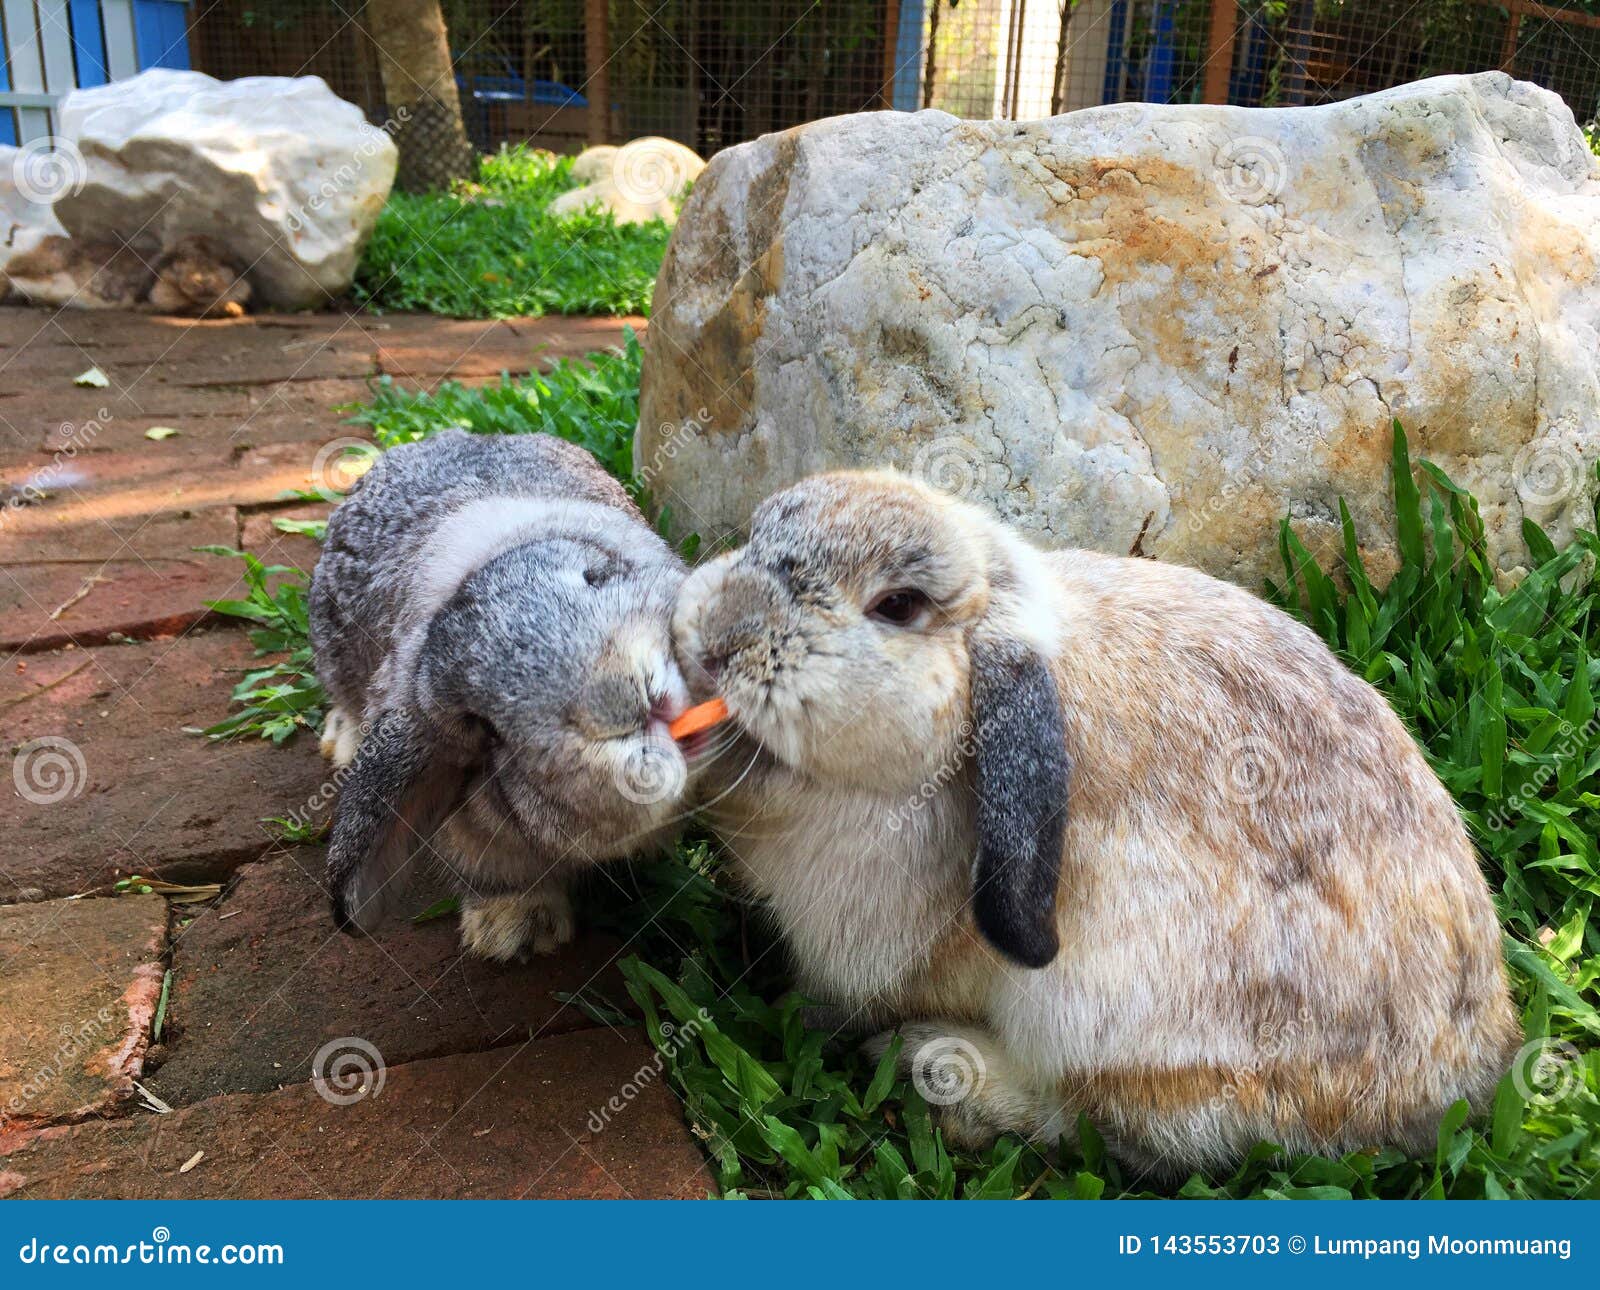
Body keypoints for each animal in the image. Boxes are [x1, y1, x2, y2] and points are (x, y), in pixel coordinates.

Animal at [671, 469, 1522, 1175]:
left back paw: (941, 1067)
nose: (715, 640)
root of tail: (1459, 1079)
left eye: (898, 606)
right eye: (757, 529)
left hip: (1119, 1028)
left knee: (1109, 1125)